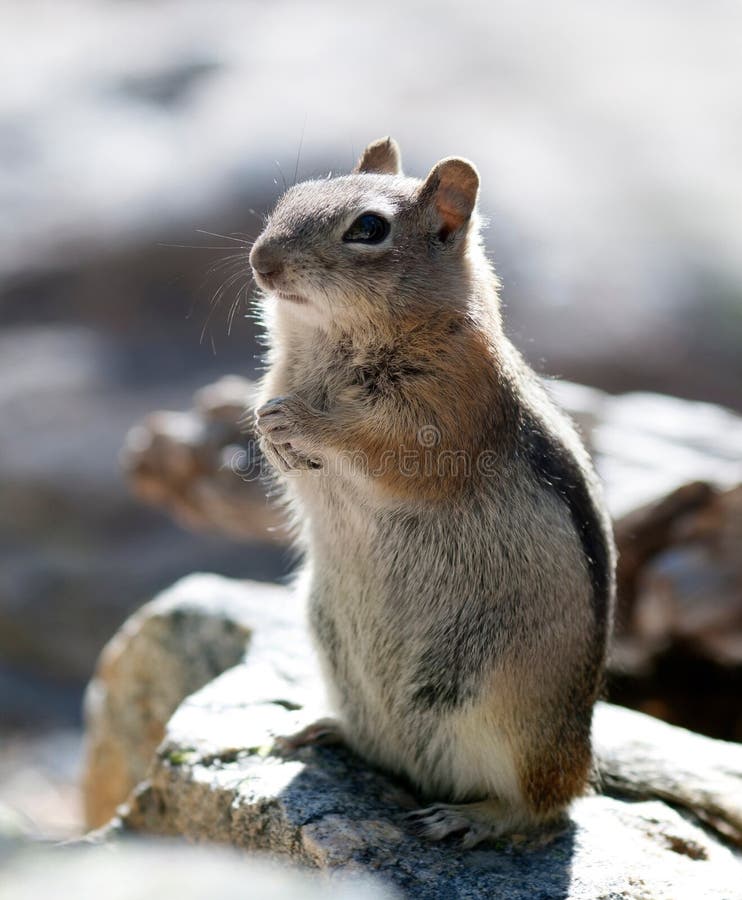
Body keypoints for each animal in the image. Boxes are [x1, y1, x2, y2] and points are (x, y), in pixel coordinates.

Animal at [250, 137, 616, 847]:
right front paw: (266, 426)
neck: (328, 343)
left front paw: (302, 423)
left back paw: (470, 817)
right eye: (289, 197)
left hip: (508, 712)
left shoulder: (448, 408)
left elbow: (388, 452)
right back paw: (322, 729)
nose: (261, 261)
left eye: (368, 229)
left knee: (545, 807)